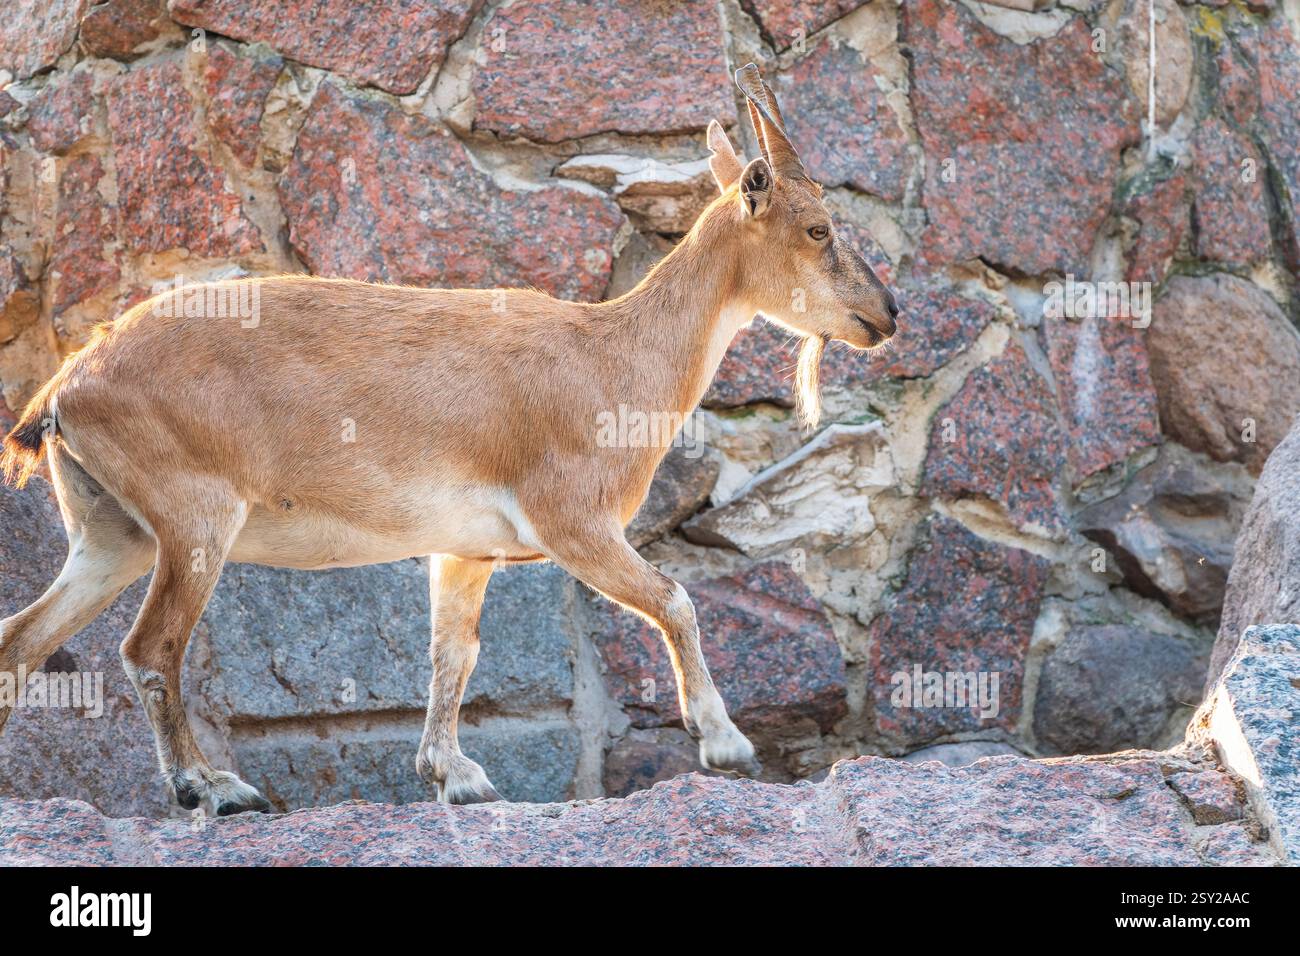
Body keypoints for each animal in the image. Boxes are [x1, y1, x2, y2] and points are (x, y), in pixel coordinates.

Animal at [0, 65, 898, 813]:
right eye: (819, 228)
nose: (886, 315)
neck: (613, 358)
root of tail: (67, 385)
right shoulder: (574, 522)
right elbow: (675, 598)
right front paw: (725, 743)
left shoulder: (465, 549)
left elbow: (452, 654)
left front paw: (456, 775)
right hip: (194, 518)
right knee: (151, 646)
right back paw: (212, 787)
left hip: (112, 534)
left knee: (23, 641)